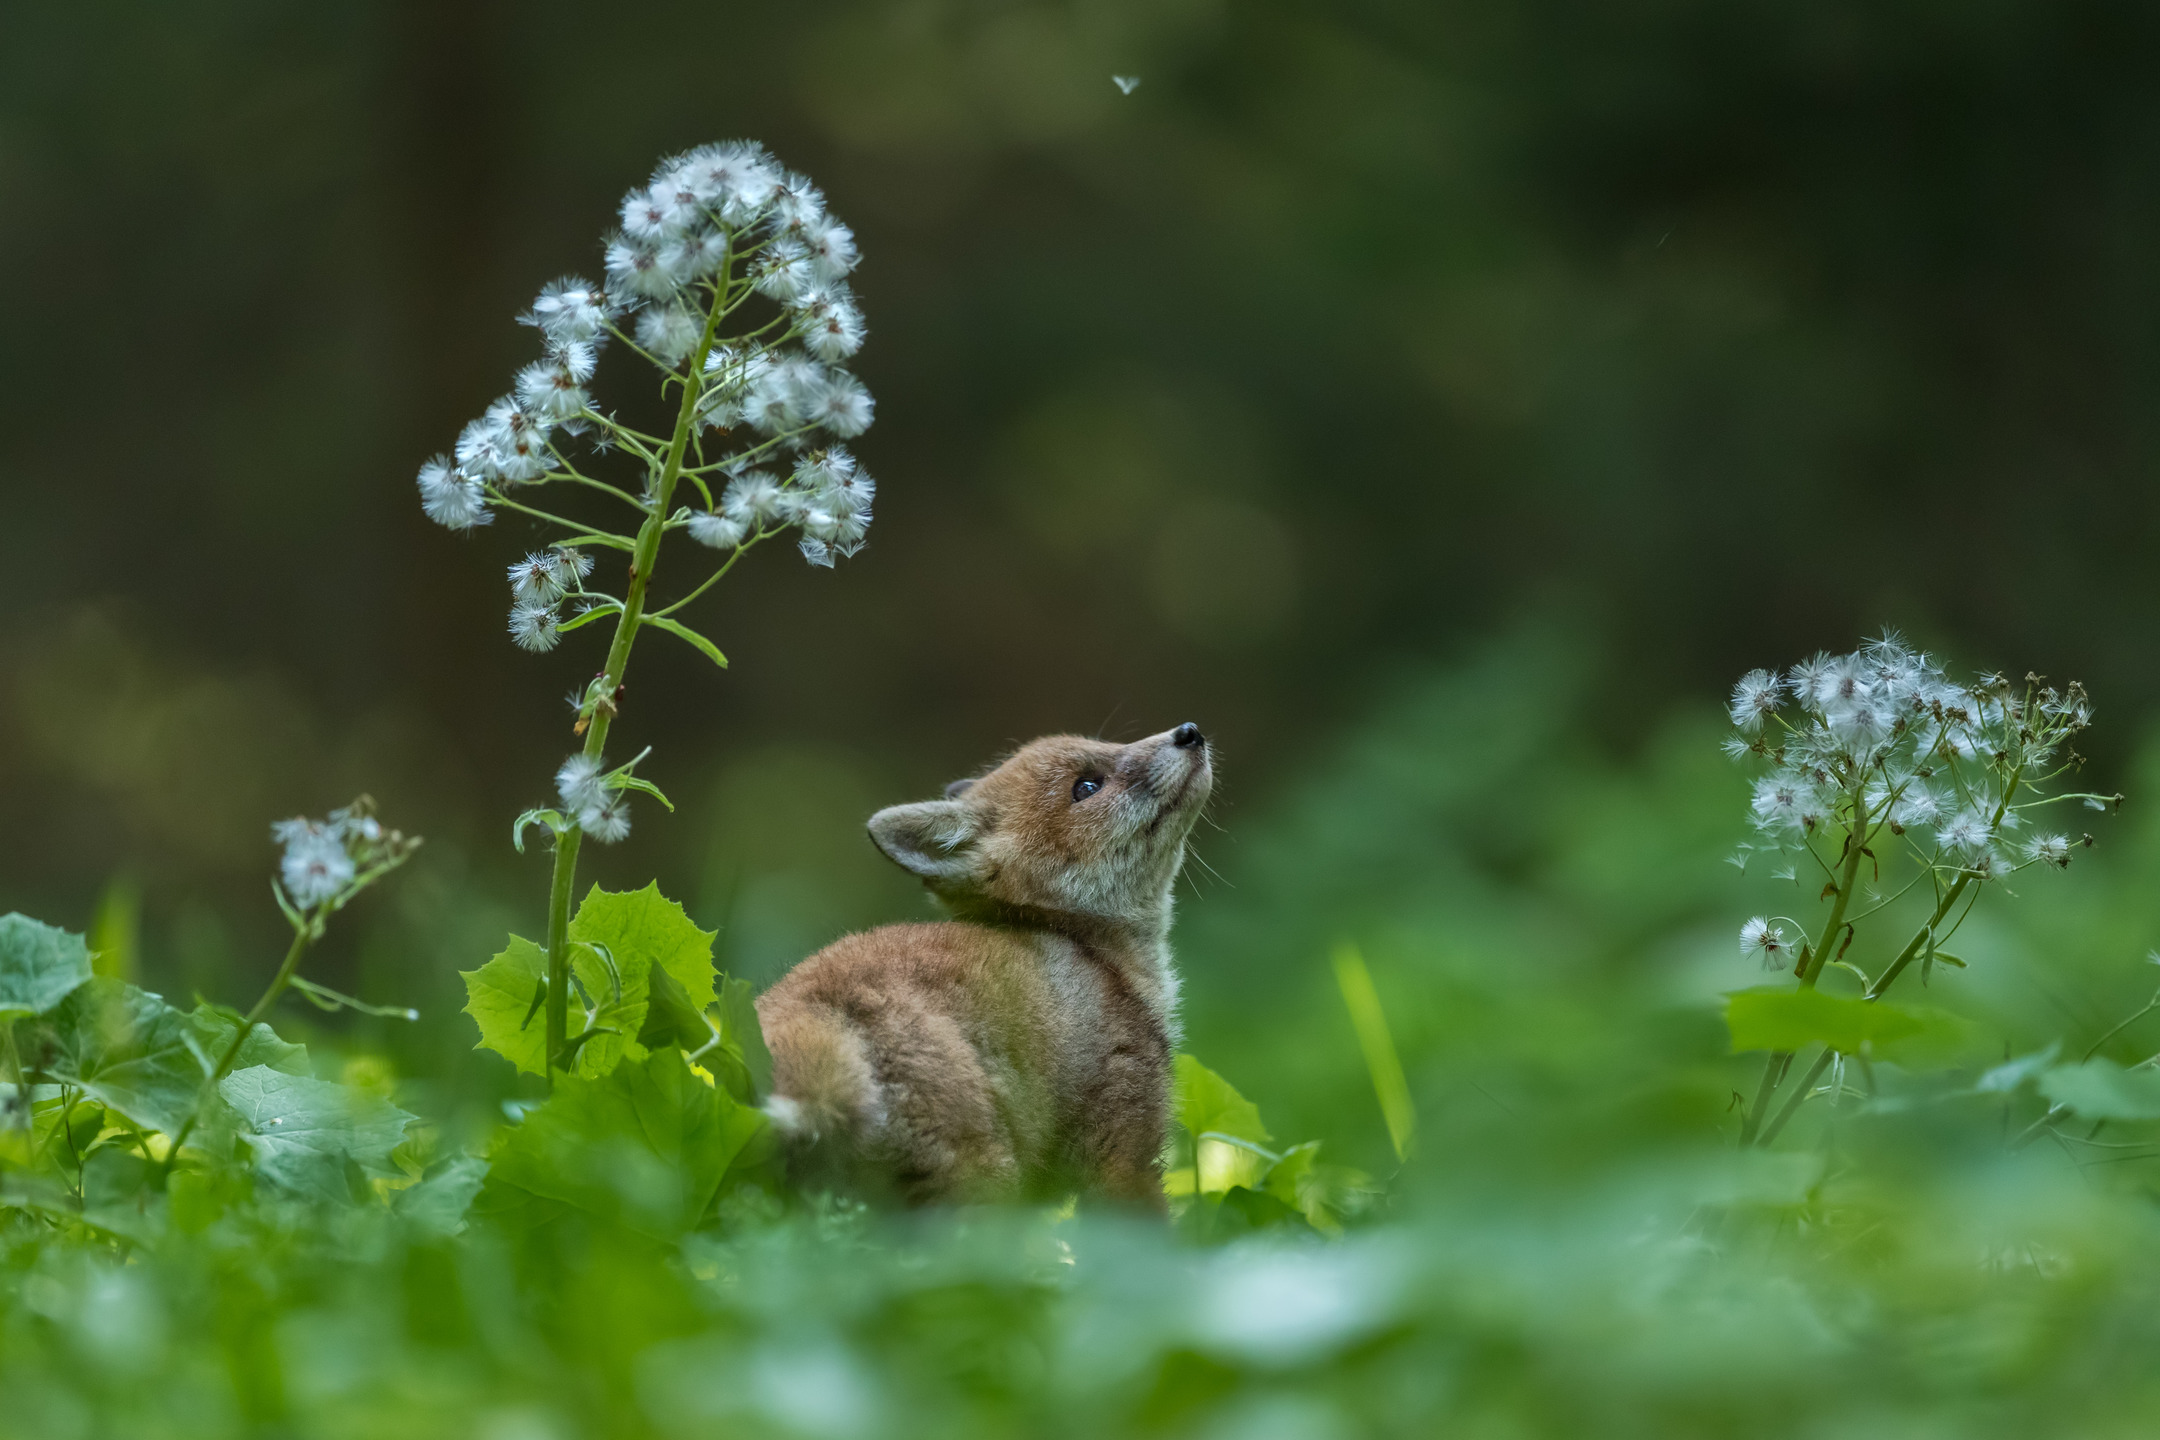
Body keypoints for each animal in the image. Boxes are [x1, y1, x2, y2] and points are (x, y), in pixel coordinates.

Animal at [754, 721, 1214, 1209]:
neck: (1102, 959)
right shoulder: (1123, 1146)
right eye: (1087, 787)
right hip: (983, 1178)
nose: (1189, 732)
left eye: (1106, 744)